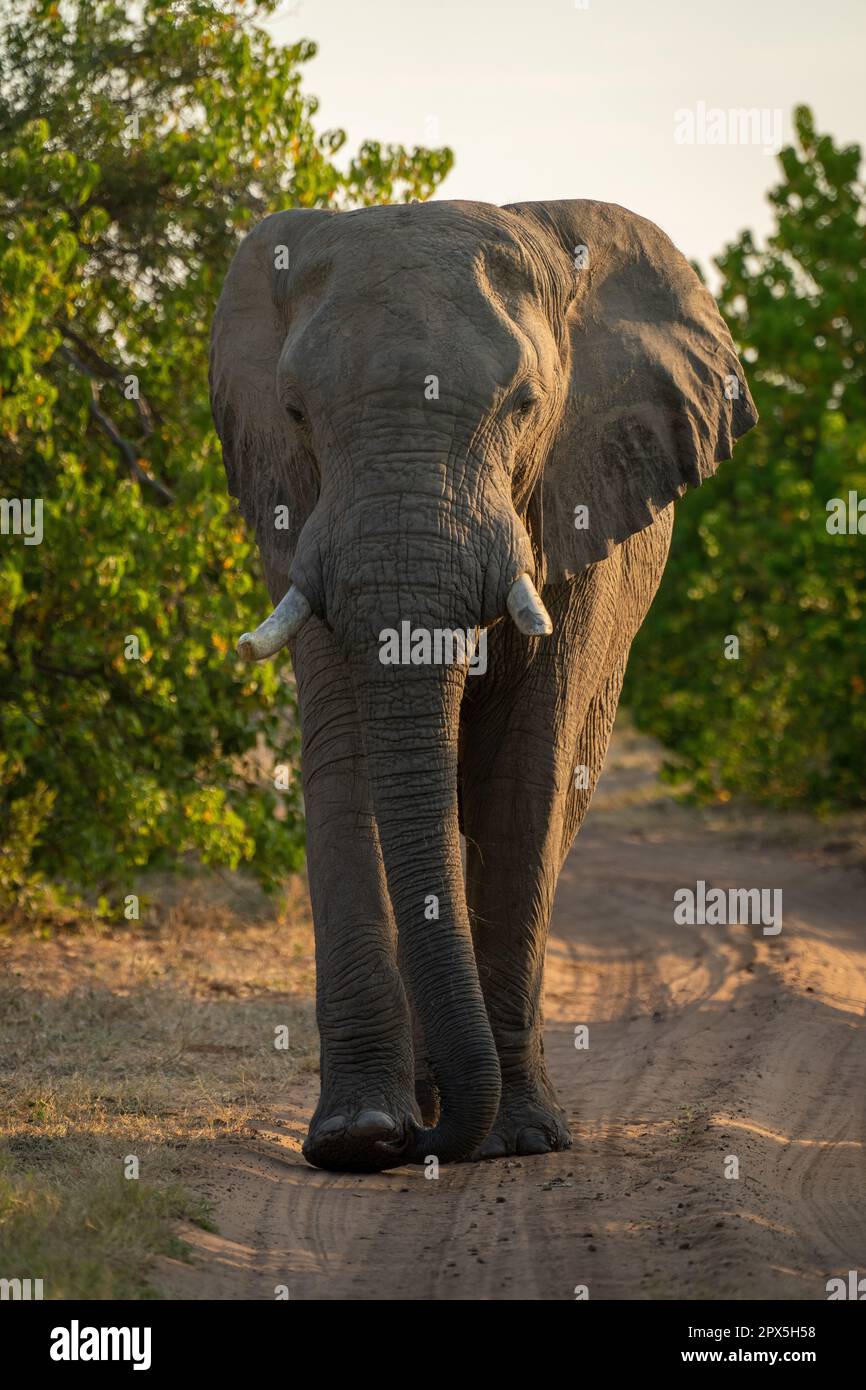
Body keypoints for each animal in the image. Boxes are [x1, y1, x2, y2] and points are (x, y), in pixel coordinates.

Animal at [210, 198, 757, 1173]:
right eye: (296, 411)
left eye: (527, 406)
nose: (417, 1140)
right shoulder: (299, 518)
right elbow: (346, 759)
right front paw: (357, 1137)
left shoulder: (577, 505)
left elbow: (521, 775)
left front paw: (517, 1140)